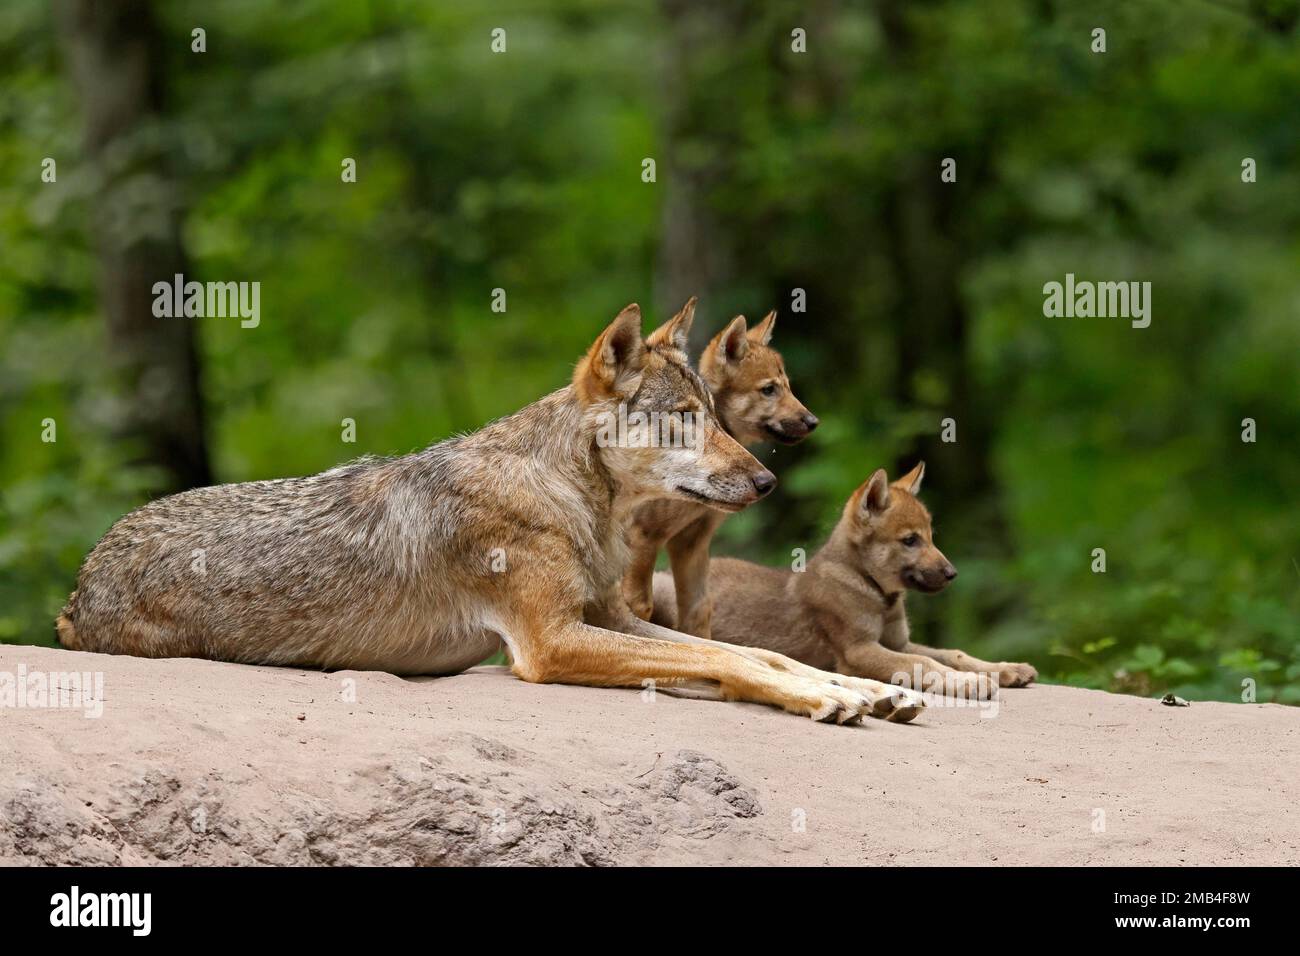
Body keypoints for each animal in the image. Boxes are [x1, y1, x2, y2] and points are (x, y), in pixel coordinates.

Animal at [622, 308, 817, 638]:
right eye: (769, 390)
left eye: (788, 387)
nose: (813, 421)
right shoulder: (643, 537)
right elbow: (637, 609)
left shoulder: (693, 542)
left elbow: (699, 612)